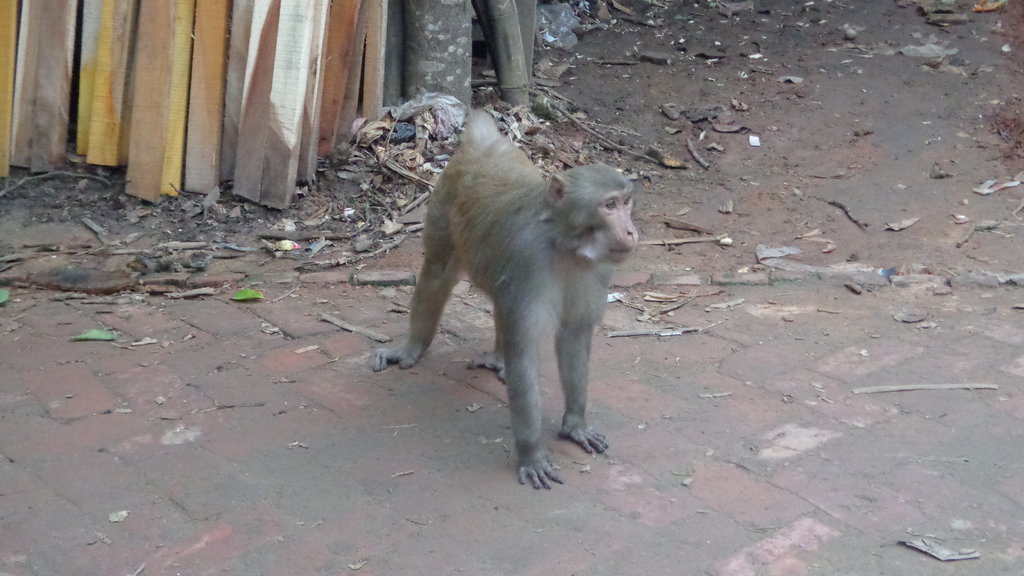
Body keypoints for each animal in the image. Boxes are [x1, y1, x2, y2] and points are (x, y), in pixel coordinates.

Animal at [372, 110, 638, 489]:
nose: (630, 230)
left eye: (626, 202)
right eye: (609, 205)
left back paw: (498, 357)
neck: (563, 244)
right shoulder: (527, 260)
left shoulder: (599, 270)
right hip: (444, 201)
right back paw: (414, 345)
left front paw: (575, 425)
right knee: (438, 273)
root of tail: (485, 145)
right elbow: (524, 352)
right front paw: (531, 453)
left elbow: (573, 336)